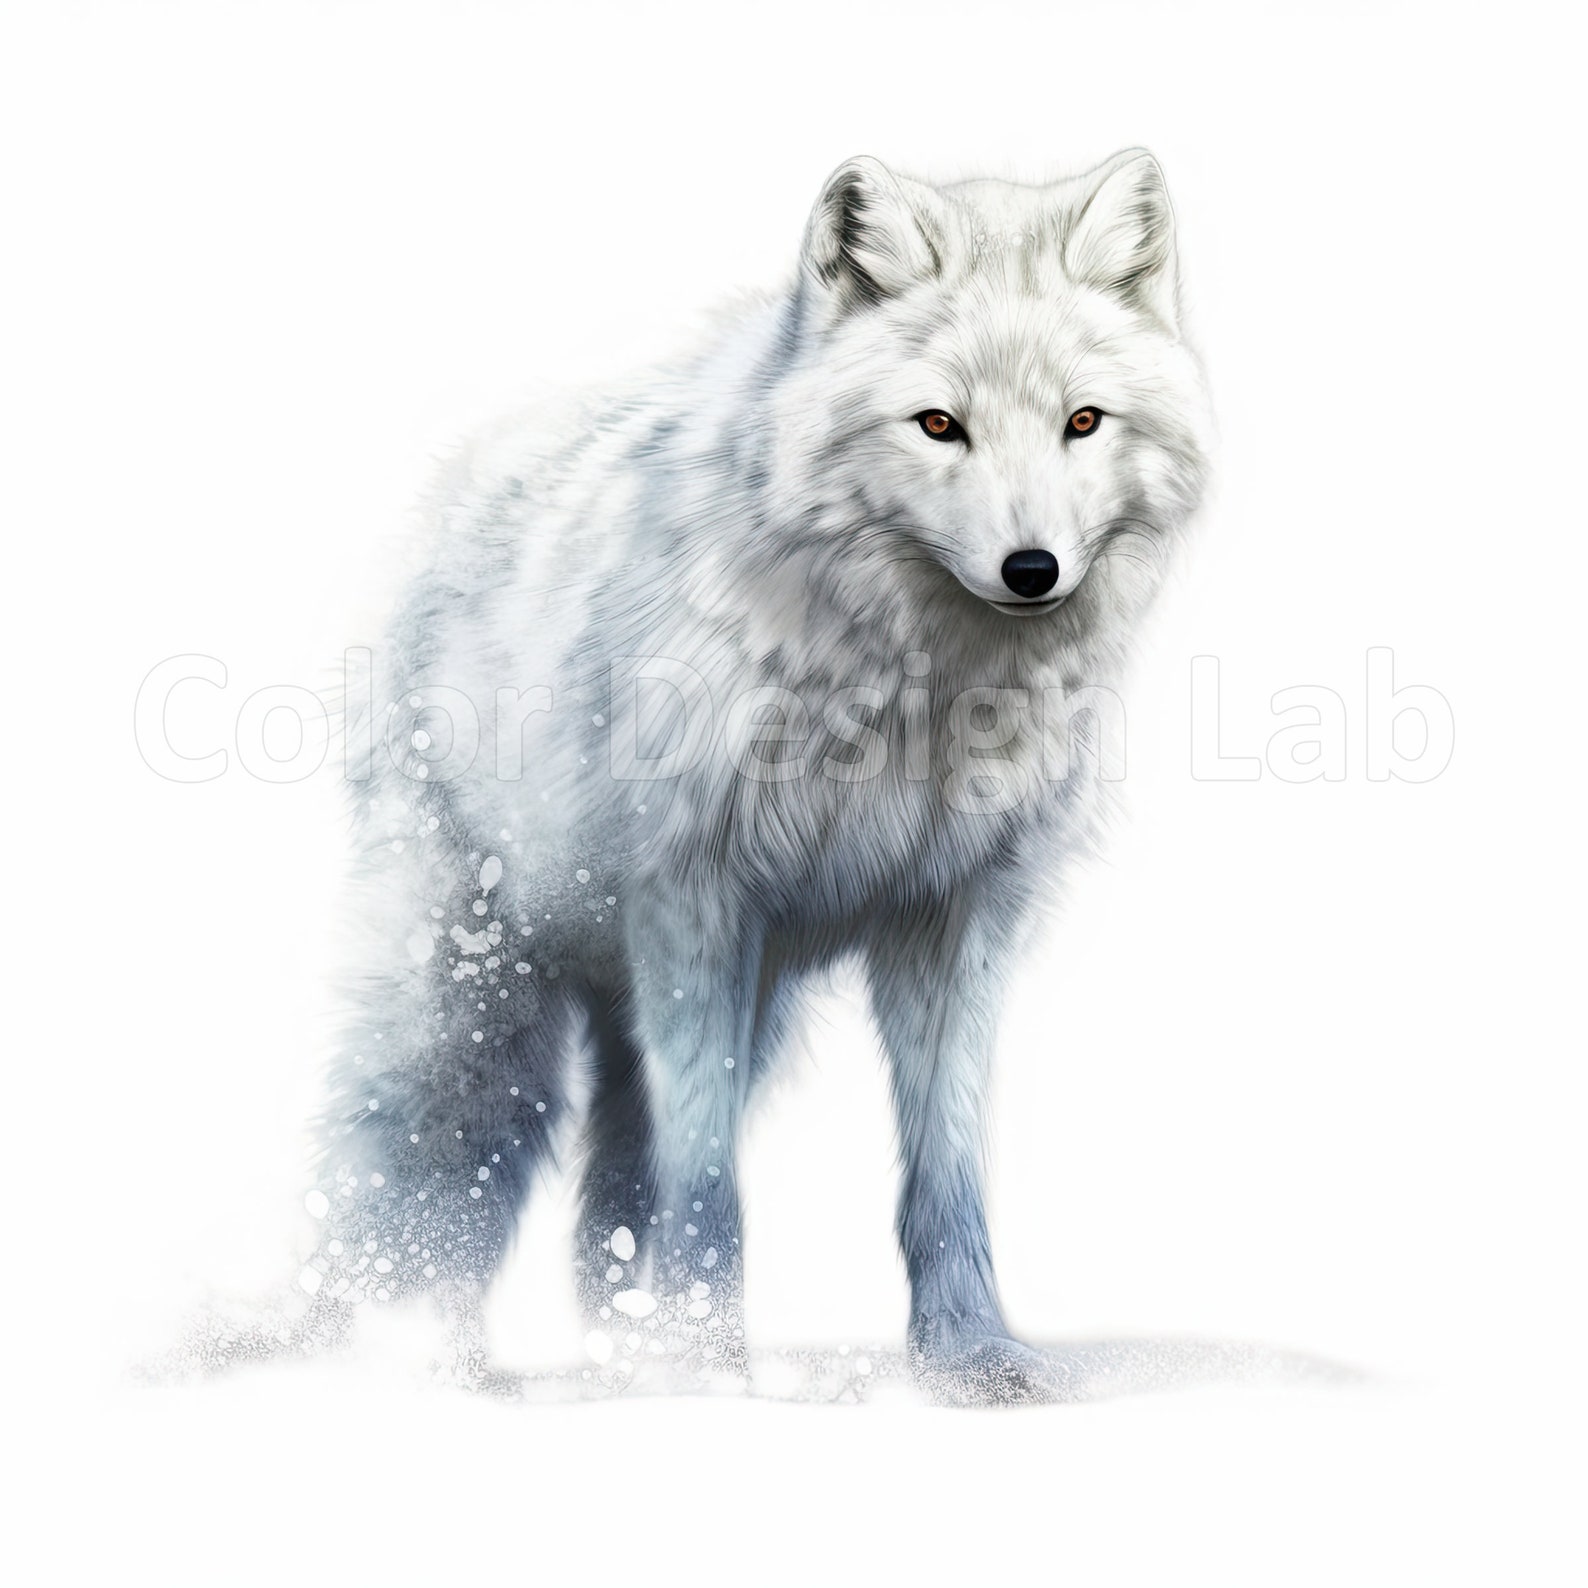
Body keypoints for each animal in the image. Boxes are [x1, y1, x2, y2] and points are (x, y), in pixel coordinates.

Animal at [274, 148, 1211, 1406]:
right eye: (938, 424)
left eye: (1082, 422)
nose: (1032, 569)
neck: (908, 698)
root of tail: (452, 494)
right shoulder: (696, 905)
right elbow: (710, 1179)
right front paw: (709, 1367)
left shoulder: (953, 918)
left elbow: (943, 1170)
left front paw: (971, 1358)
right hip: (477, 1008)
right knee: (416, 1171)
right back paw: (402, 1351)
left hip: (717, 1009)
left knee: (609, 1189)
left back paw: (613, 1342)